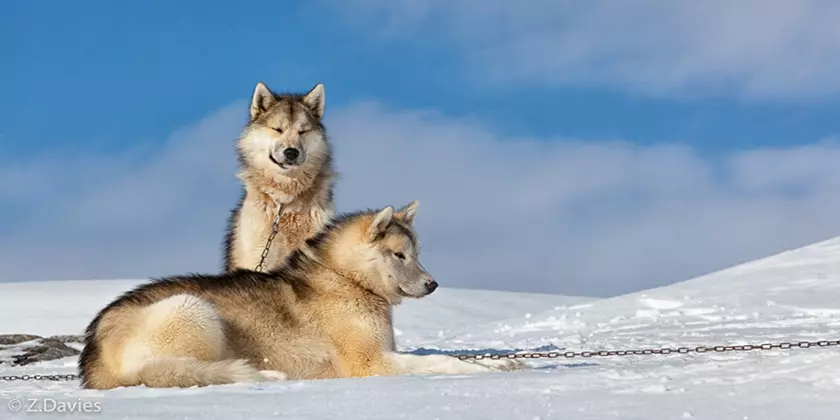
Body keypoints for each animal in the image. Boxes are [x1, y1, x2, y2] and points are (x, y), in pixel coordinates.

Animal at [80, 202, 524, 388]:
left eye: (416, 253)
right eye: (400, 254)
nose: (433, 284)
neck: (346, 278)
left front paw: (504, 364)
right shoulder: (370, 363)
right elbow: (444, 362)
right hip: (192, 309)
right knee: (174, 372)